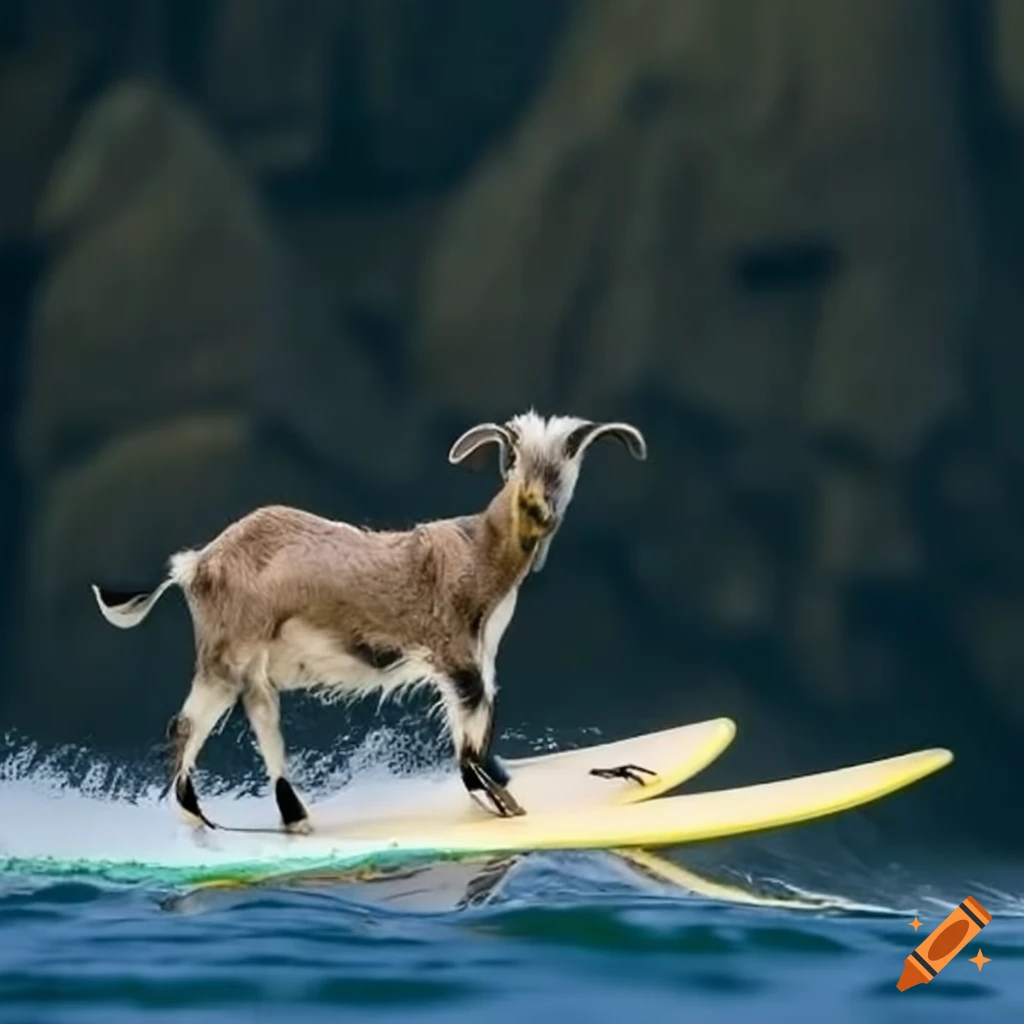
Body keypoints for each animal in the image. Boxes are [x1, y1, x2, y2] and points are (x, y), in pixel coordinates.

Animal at [90, 411, 647, 832]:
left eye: (564, 471)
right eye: (513, 465)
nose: (537, 511)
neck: (480, 551)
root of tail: (193, 565)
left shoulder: (480, 659)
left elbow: (482, 731)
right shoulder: (455, 655)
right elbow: (469, 742)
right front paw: (505, 805)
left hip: (248, 670)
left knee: (252, 722)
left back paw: (277, 819)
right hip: (227, 654)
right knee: (194, 724)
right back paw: (224, 820)